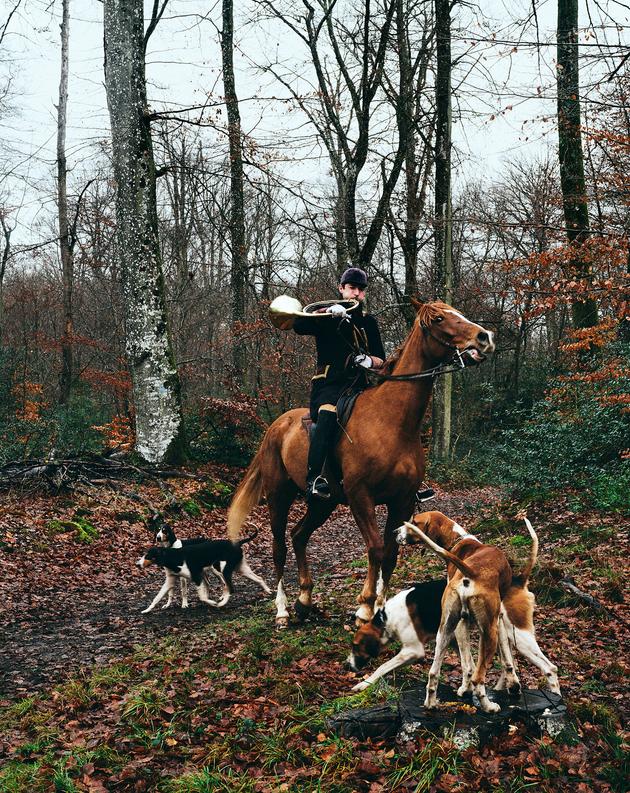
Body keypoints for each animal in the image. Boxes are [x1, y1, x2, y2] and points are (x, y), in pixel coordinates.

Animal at [138, 524, 272, 612]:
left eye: (148, 556)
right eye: (158, 531)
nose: (137, 564)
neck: (173, 553)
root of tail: (237, 543)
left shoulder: (193, 577)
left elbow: (191, 593)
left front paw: (189, 604)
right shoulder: (171, 579)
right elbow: (159, 596)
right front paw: (150, 609)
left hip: (220, 570)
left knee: (228, 586)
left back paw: (222, 601)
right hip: (240, 569)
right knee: (258, 578)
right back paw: (268, 591)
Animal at [230, 300, 496, 628]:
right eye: (438, 318)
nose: (484, 337)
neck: (392, 421)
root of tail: (276, 426)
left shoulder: (402, 501)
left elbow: (391, 553)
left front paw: (380, 608)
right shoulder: (361, 497)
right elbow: (376, 548)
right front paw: (365, 608)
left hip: (324, 502)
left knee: (299, 535)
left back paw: (305, 600)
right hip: (279, 495)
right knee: (279, 546)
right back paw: (282, 610)